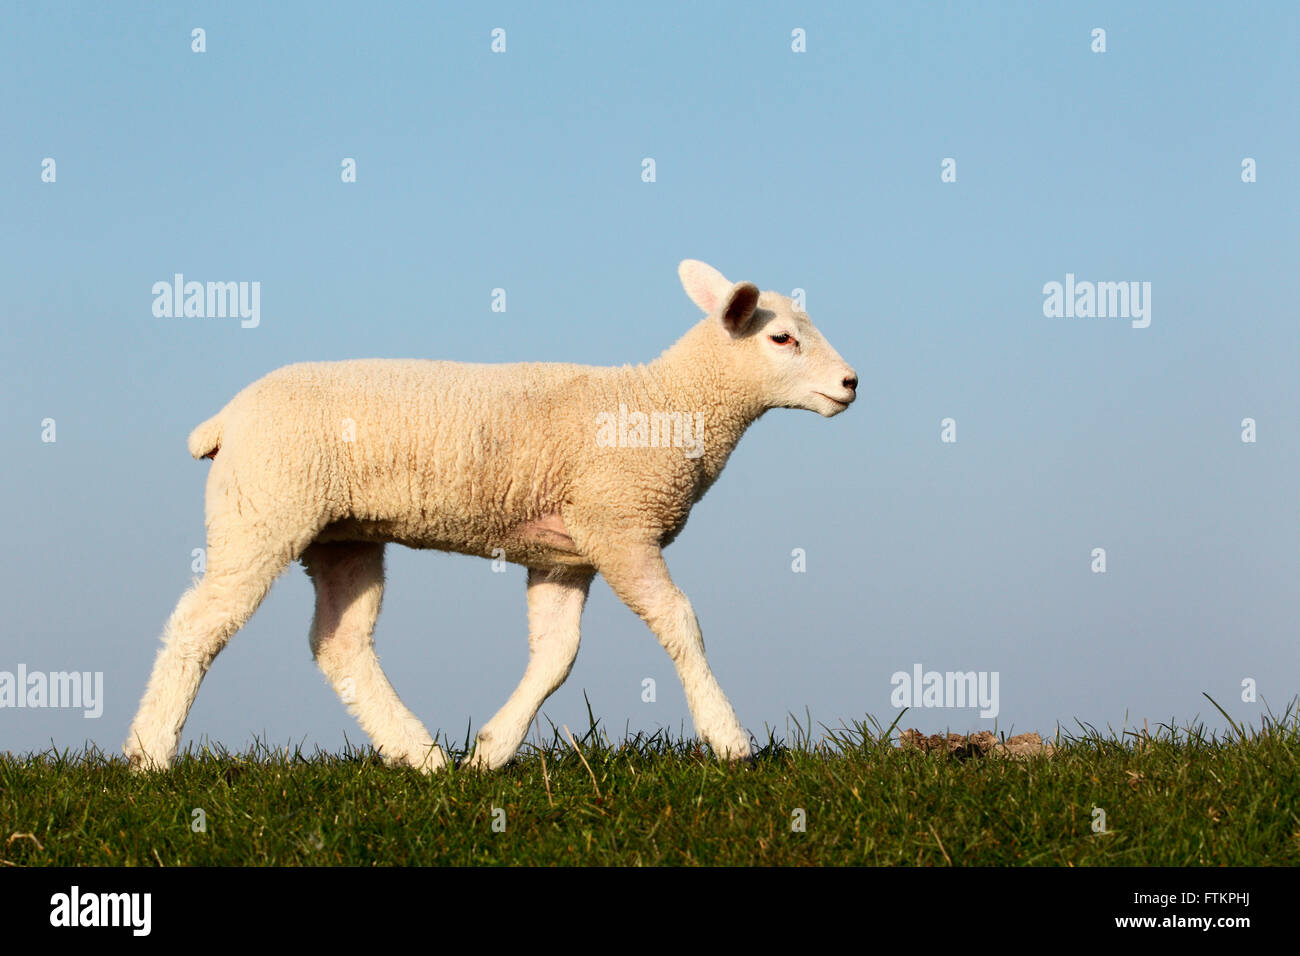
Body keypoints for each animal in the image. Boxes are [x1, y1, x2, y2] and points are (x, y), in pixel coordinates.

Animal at [124, 259, 858, 773]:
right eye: (783, 338)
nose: (851, 383)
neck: (666, 403)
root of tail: (224, 421)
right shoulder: (619, 525)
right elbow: (681, 623)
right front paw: (730, 738)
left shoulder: (565, 553)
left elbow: (557, 655)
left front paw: (491, 751)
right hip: (264, 509)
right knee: (200, 624)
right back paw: (149, 755)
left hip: (339, 535)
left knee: (340, 642)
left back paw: (421, 756)